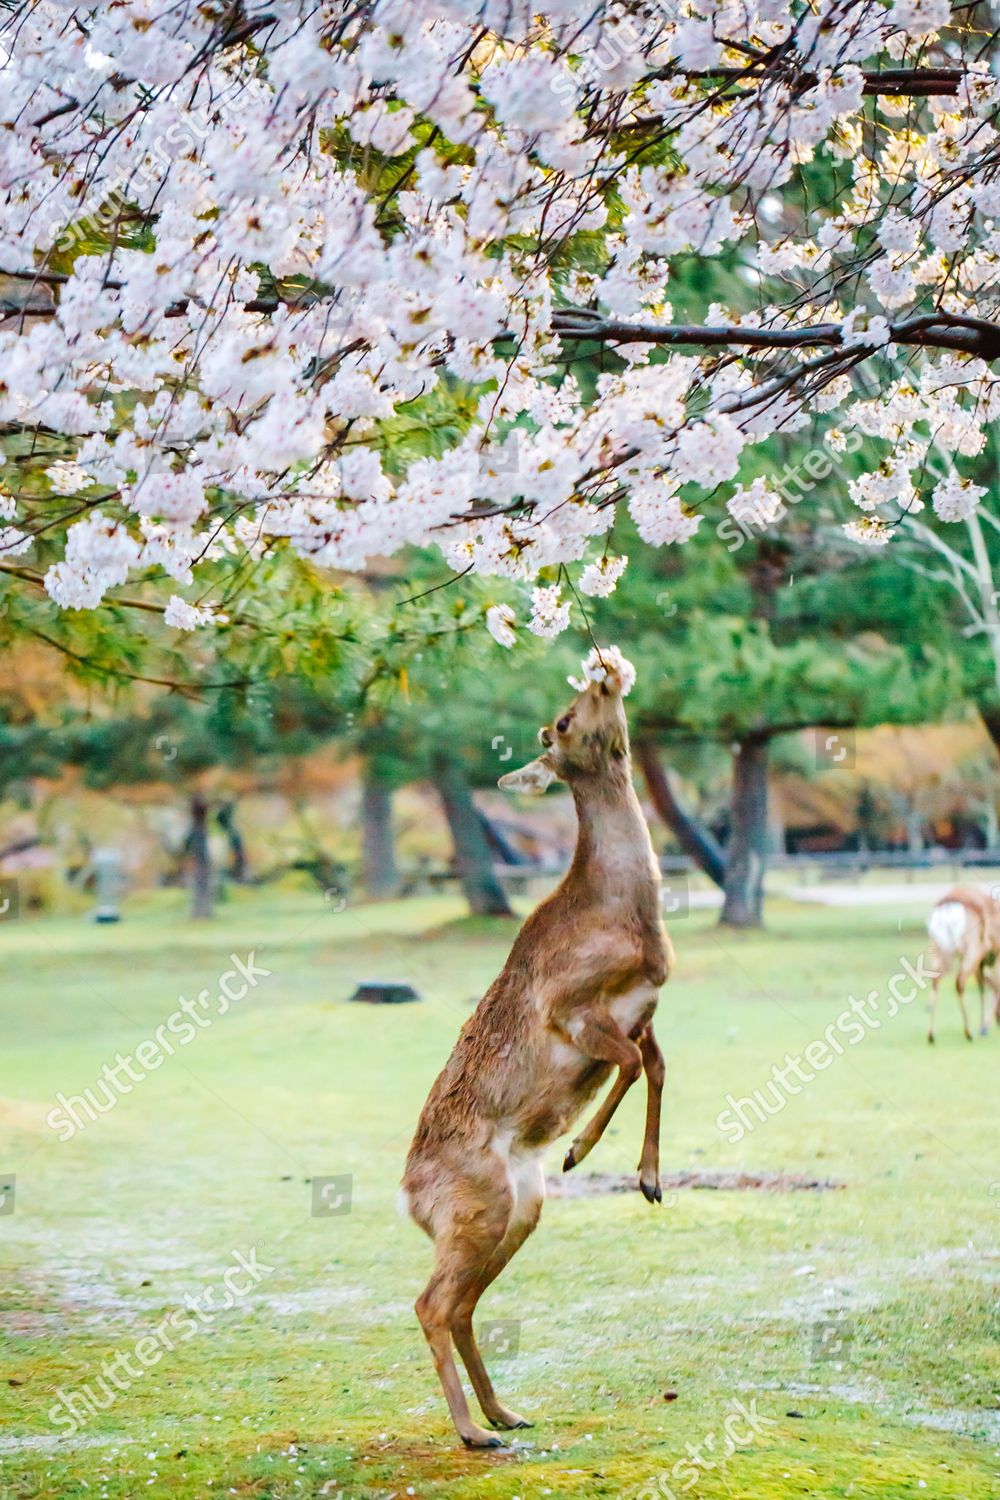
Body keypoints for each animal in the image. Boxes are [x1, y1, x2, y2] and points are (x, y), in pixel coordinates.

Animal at [400, 658, 672, 1448]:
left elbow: (657, 1065)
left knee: (460, 1304)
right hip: (476, 1207)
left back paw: (505, 1411)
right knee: (430, 1302)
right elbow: (634, 1065)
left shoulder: (644, 1011)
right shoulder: (571, 1010)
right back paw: (473, 1431)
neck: (627, 918)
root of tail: (408, 1196)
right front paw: (583, 1149)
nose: (604, 670)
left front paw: (649, 1179)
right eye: (560, 722)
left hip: (520, 1210)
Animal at [926, 884, 1000, 1043]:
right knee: (959, 981)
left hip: (940, 948)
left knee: (935, 979)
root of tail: (948, 907)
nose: (999, 1019)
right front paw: (984, 1027)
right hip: (973, 948)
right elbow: (994, 985)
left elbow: (984, 987)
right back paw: (968, 1032)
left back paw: (931, 1035)